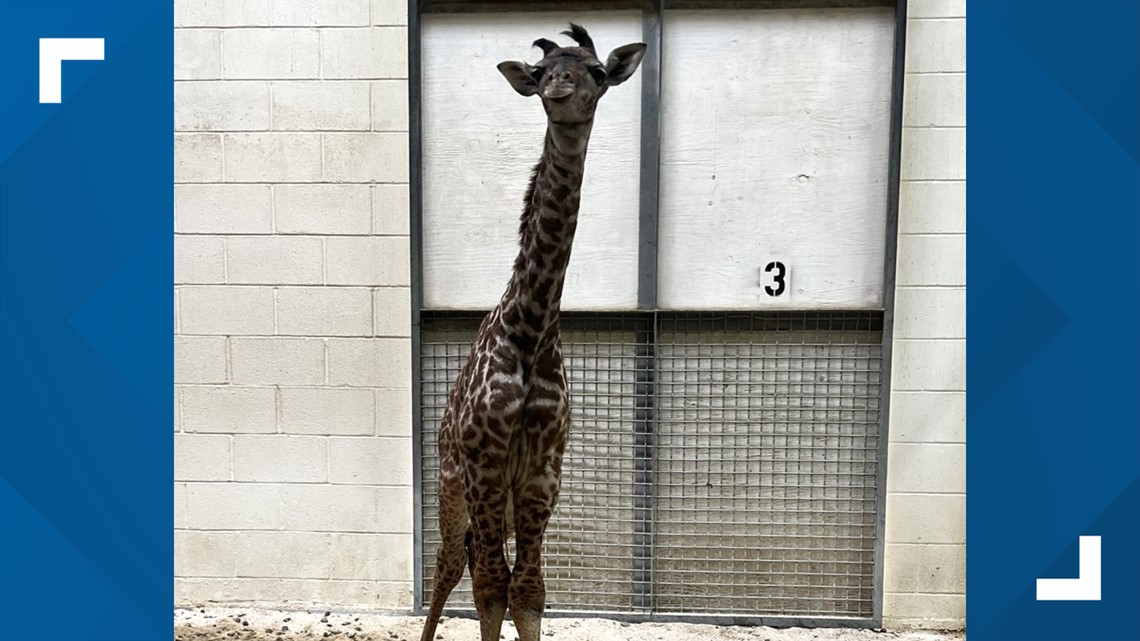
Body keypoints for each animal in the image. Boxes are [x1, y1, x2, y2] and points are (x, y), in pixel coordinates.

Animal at [419, 23, 646, 641]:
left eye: (597, 72)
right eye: (542, 72)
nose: (560, 90)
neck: (531, 330)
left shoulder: (543, 473)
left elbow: (528, 591)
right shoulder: (485, 464)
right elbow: (490, 588)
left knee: (473, 563)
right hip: (452, 487)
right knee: (448, 566)